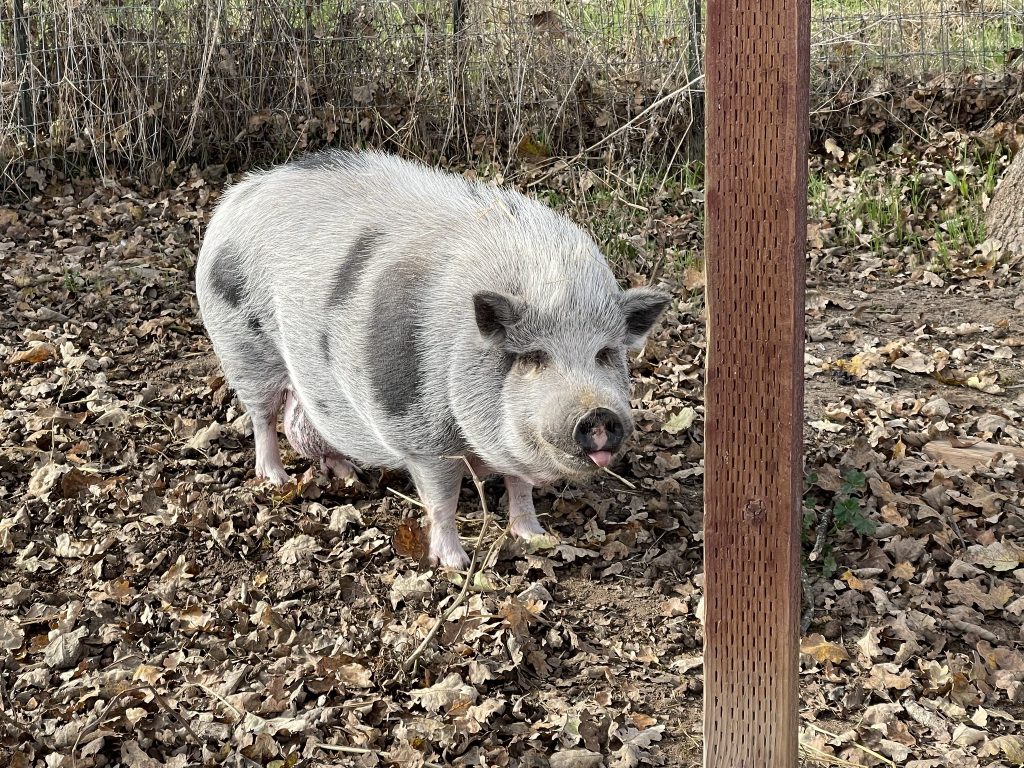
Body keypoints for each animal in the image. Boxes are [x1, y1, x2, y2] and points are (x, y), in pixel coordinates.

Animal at [194, 150, 670, 568]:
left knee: (301, 422)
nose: (597, 414)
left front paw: (536, 537)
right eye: (534, 357)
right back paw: (276, 478)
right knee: (262, 418)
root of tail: (237, 196)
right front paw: (455, 564)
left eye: (604, 354)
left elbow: (519, 486)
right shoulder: (421, 434)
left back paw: (349, 474)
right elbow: (443, 500)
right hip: (243, 348)